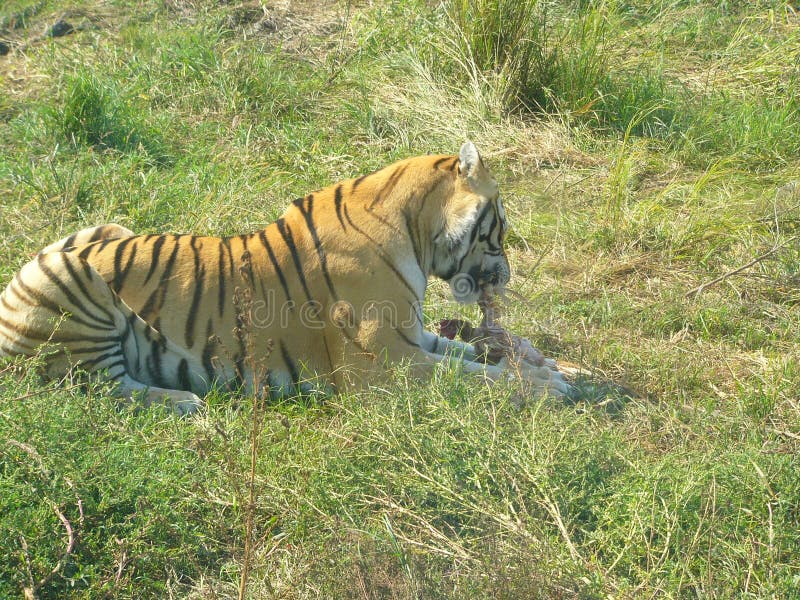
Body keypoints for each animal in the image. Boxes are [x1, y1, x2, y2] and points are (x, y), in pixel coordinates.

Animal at [0, 142, 570, 413]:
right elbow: (474, 376)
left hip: (105, 228)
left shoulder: (410, 335)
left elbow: (467, 352)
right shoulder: (384, 363)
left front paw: (553, 366)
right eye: (502, 223)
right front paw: (549, 385)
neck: (417, 230)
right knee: (102, 388)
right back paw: (183, 402)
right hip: (74, 285)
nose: (507, 276)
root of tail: (16, 275)